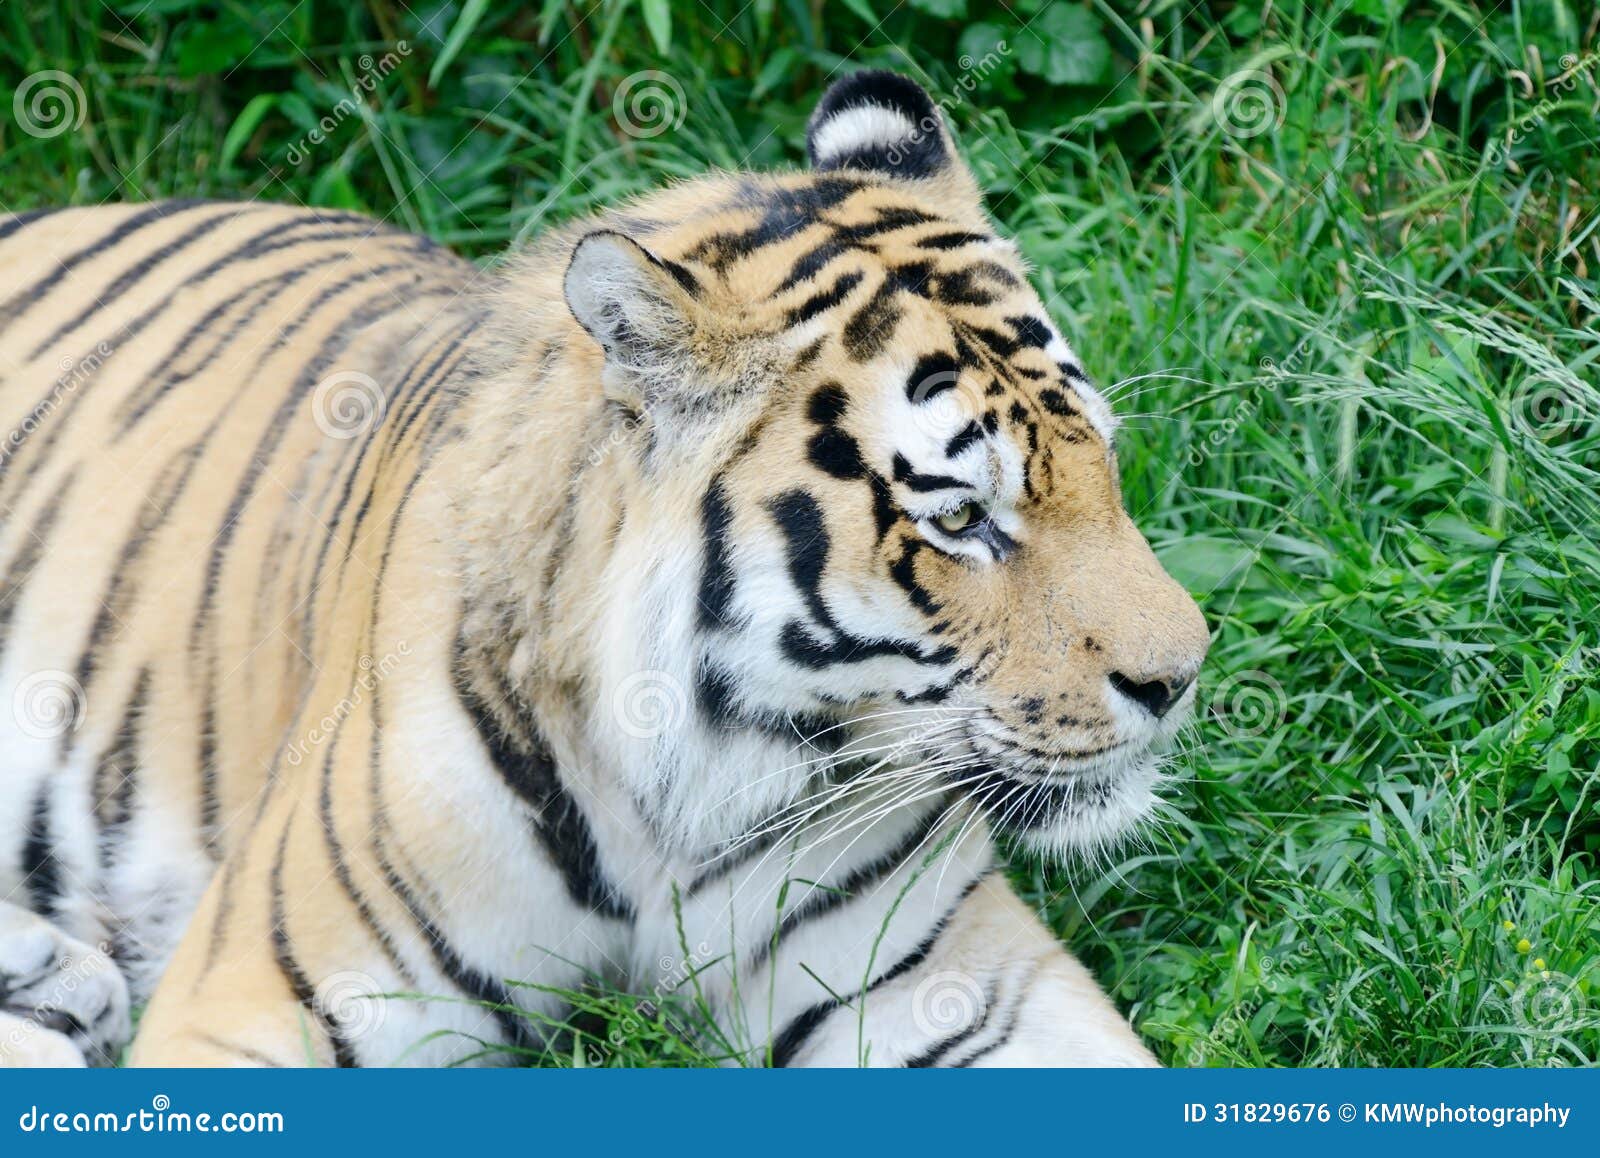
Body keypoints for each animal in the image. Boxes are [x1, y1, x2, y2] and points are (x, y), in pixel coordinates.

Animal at [0, 70, 1208, 1068]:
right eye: (958, 518)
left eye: (1102, 461)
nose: (1182, 677)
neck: (678, 799)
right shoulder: (269, 994)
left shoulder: (941, 976)